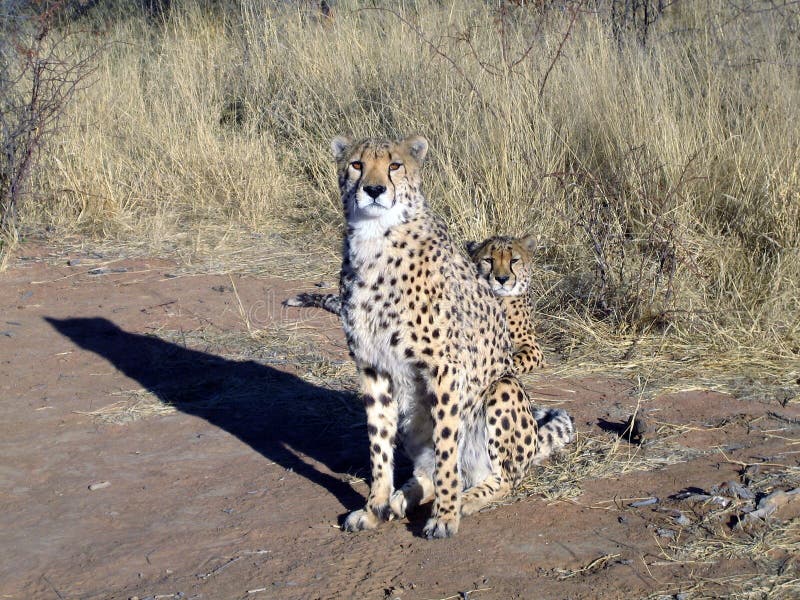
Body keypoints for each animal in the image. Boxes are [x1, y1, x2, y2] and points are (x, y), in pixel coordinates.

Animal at [328, 134, 573, 539]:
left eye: (394, 165)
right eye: (356, 165)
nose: (374, 190)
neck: (375, 239)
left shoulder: (444, 367)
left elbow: (447, 451)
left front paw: (445, 516)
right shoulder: (372, 366)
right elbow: (378, 447)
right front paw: (374, 507)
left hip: (503, 389)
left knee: (503, 478)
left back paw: (465, 499)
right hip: (412, 418)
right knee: (429, 471)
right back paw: (402, 498)